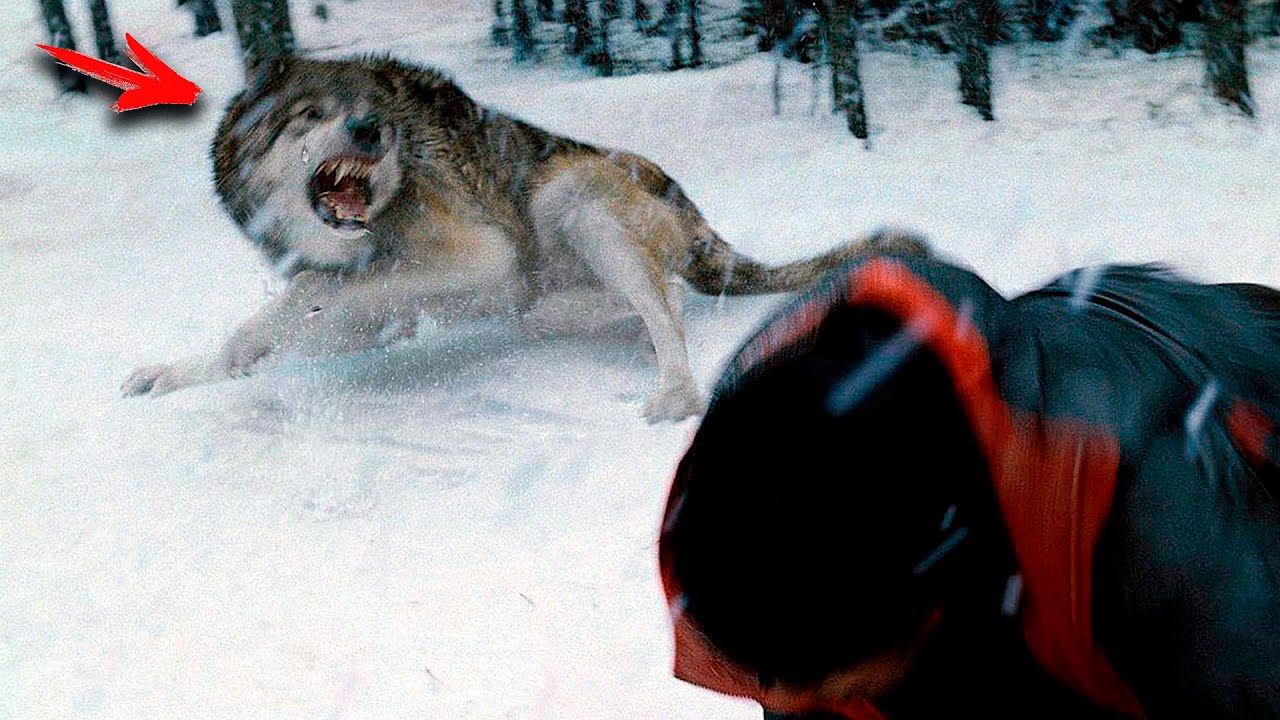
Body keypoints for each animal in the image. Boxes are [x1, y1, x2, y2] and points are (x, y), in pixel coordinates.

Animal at [121, 55, 929, 421]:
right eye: (310, 116)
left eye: (359, 110)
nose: (372, 129)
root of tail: (692, 213)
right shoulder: (372, 310)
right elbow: (259, 334)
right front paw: (176, 373)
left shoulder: (483, 255)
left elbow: (320, 288)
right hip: (561, 274)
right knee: (643, 304)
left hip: (576, 203)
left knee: (666, 312)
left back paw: (672, 390)